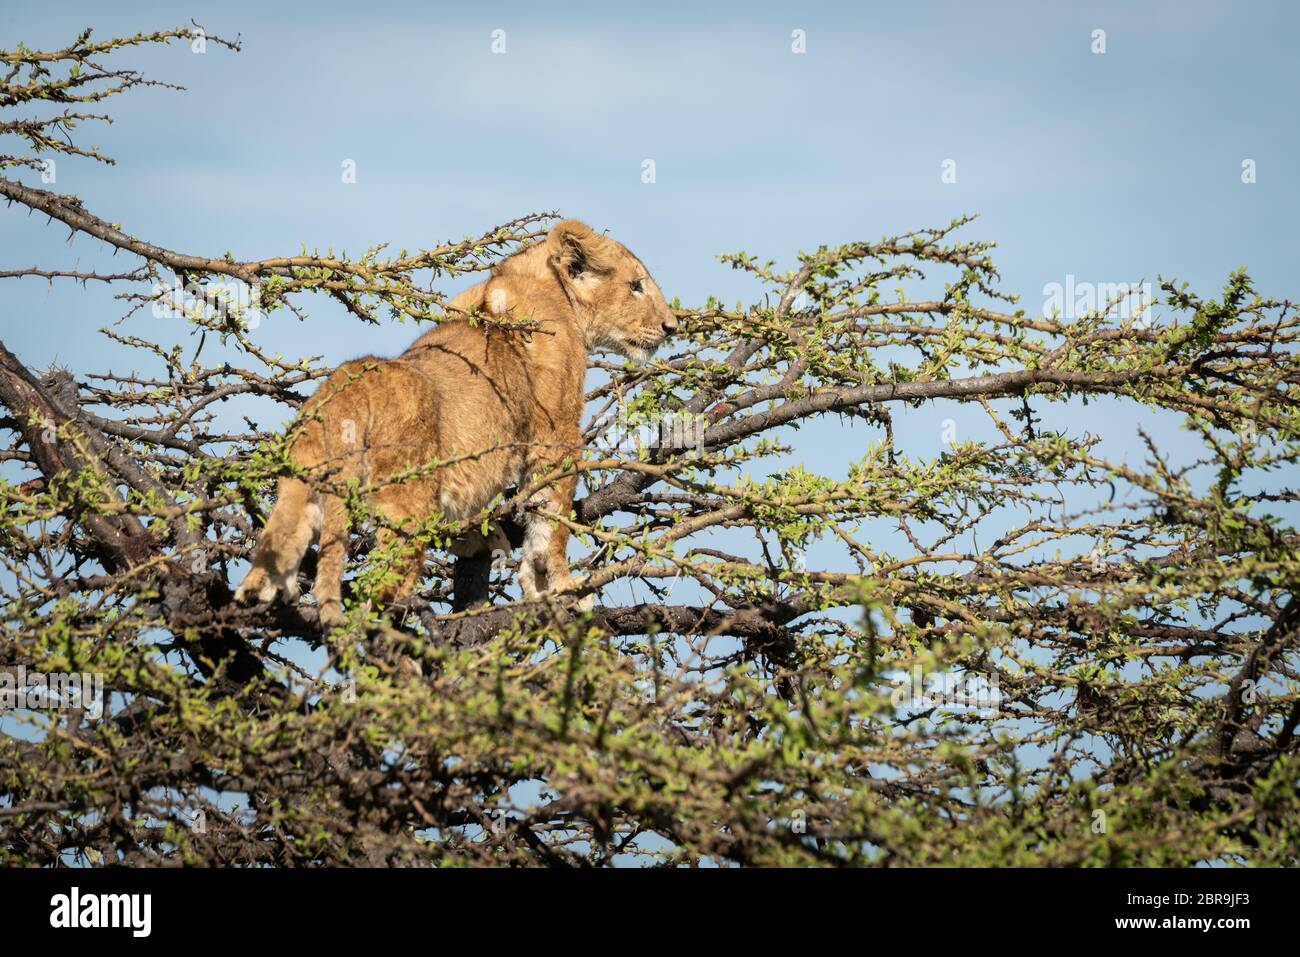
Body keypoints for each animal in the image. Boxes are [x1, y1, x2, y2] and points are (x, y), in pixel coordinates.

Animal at [233, 219, 677, 627]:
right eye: (636, 286)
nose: (671, 326)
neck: (544, 286)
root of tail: (350, 389)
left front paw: (487, 544)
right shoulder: (556, 433)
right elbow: (551, 521)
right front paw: (558, 586)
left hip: (301, 481)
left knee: (279, 542)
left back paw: (259, 595)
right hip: (406, 507)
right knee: (381, 591)